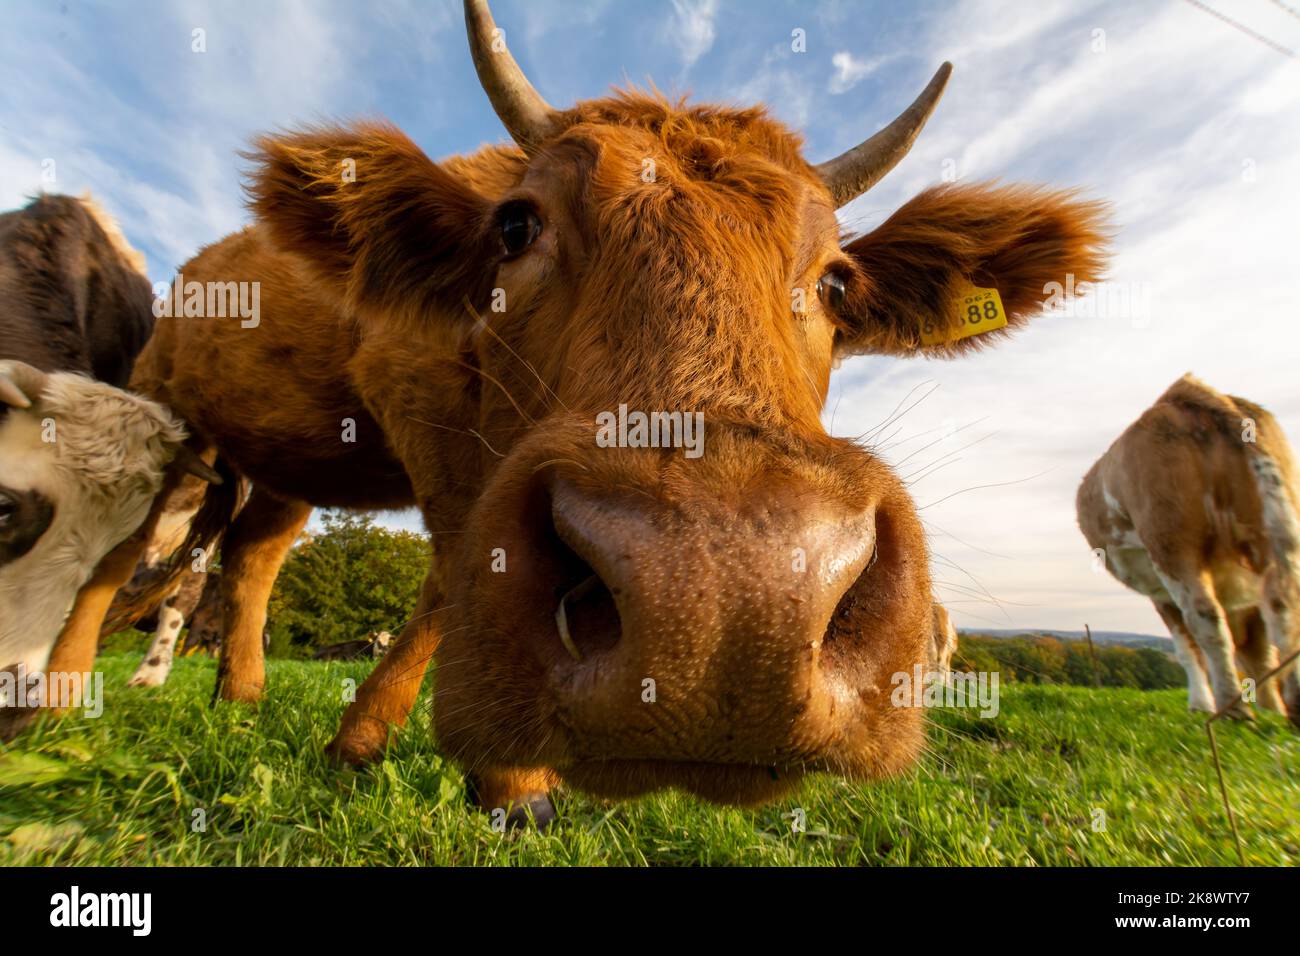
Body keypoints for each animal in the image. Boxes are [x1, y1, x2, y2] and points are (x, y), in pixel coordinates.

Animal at [45, 0, 1108, 820]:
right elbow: (458, 570)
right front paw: (492, 772)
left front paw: (431, 754)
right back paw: (61, 687)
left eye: (838, 280)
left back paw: (240, 696)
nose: (726, 607)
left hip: (288, 460)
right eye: (516, 226)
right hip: (157, 401)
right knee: (123, 542)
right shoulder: (415, 398)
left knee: (254, 555)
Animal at [1078, 375, 1300, 726]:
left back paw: (1233, 710)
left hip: (1168, 538)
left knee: (1205, 616)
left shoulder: (1159, 593)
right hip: (1275, 519)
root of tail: (1187, 396)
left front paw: (1202, 704)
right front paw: (1271, 709)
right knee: (1283, 599)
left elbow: (1187, 647)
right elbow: (1261, 647)